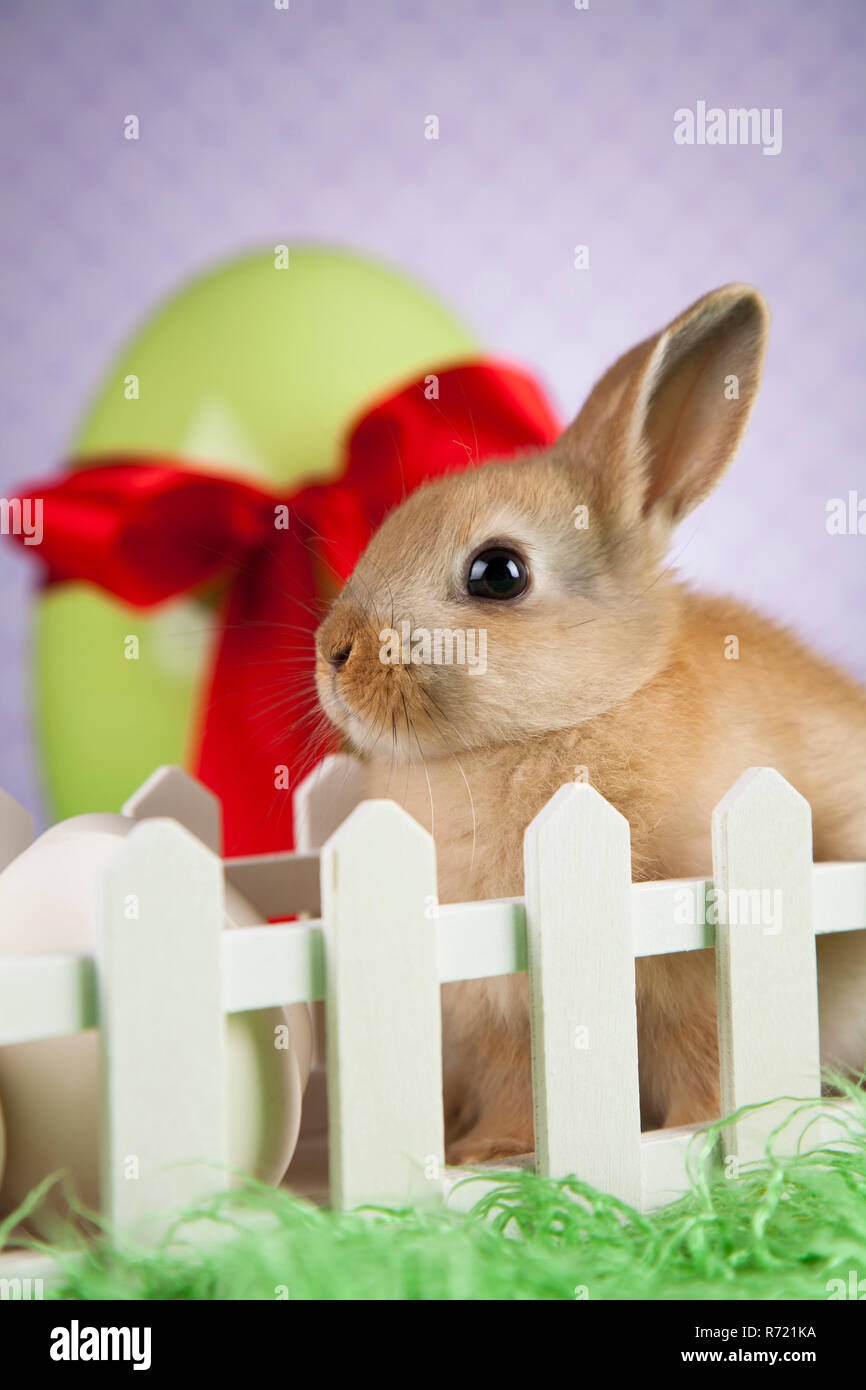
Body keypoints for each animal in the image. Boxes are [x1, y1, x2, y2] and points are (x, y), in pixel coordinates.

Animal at [314, 284, 866, 1165]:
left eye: (498, 573)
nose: (334, 652)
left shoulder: (697, 975)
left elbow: (707, 1063)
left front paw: (692, 1138)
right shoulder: (498, 1011)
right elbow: (516, 1085)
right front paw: (490, 1152)